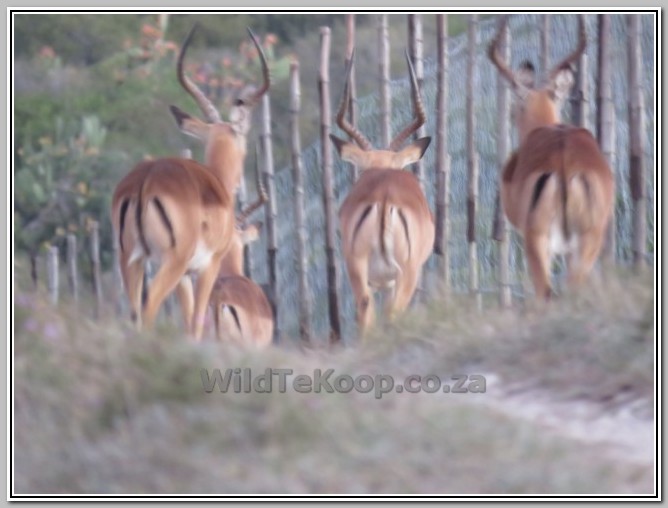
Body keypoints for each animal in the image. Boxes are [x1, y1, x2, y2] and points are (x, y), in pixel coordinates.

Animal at [489, 14, 615, 299]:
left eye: (516, 105)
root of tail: (565, 164)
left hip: (537, 241)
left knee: (546, 293)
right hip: (588, 240)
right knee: (573, 288)